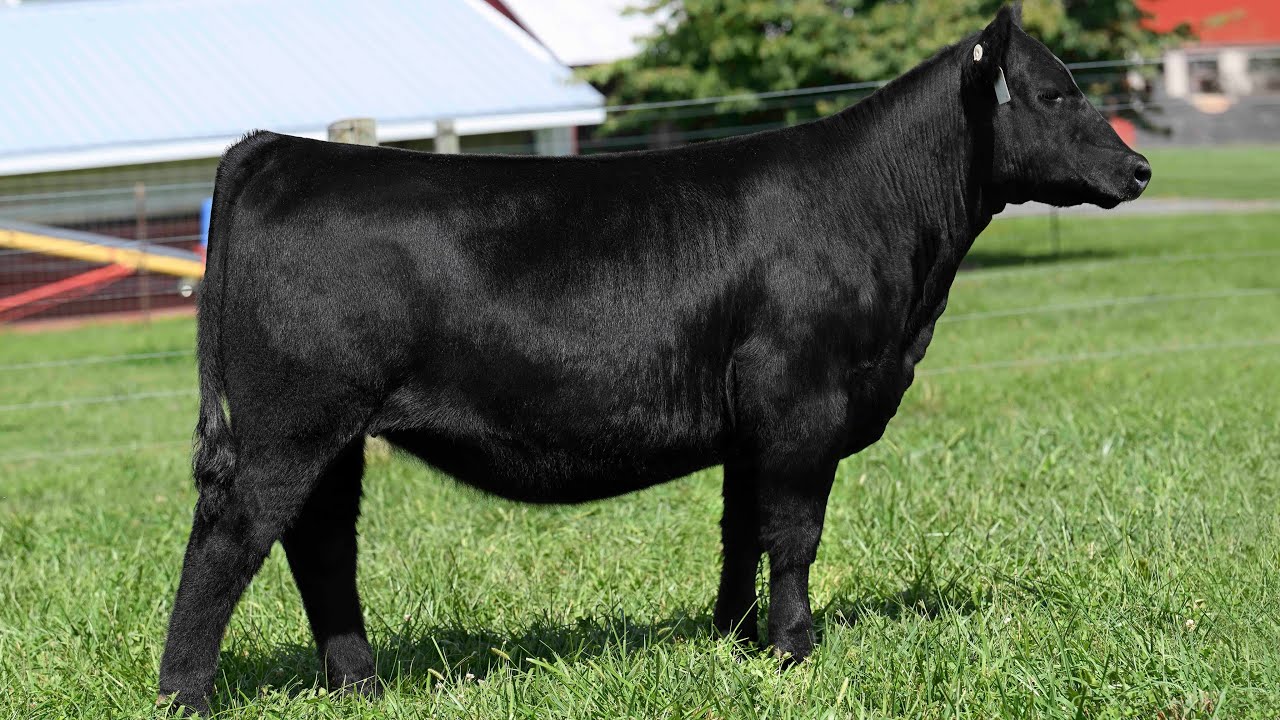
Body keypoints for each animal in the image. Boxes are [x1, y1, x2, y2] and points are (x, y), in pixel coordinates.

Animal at [157, 5, 1150, 713]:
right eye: (1055, 94)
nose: (1139, 171)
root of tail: (283, 150)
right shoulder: (801, 404)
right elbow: (794, 535)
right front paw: (796, 653)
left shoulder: (752, 424)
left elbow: (740, 532)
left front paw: (738, 644)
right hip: (293, 425)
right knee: (229, 540)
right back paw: (186, 697)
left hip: (335, 436)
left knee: (322, 545)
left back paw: (359, 687)